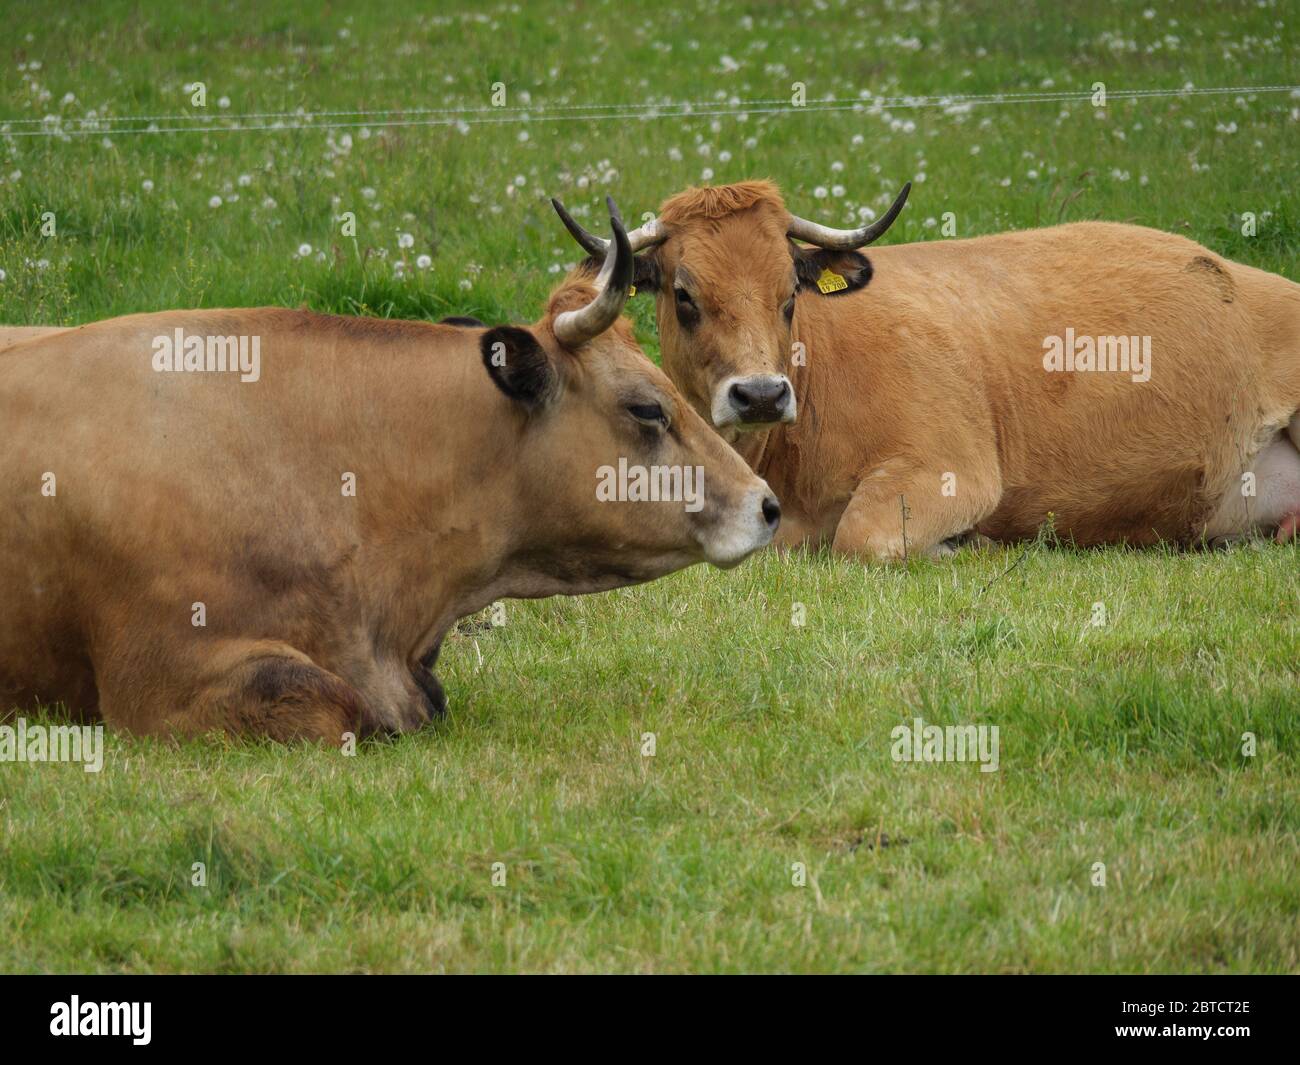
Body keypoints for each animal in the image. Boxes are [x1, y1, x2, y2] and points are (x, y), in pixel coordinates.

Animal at [553, 181, 1300, 560]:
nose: (761, 393)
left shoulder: (949, 468)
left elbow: (861, 537)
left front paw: (958, 547)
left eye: (789, 294)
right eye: (684, 296)